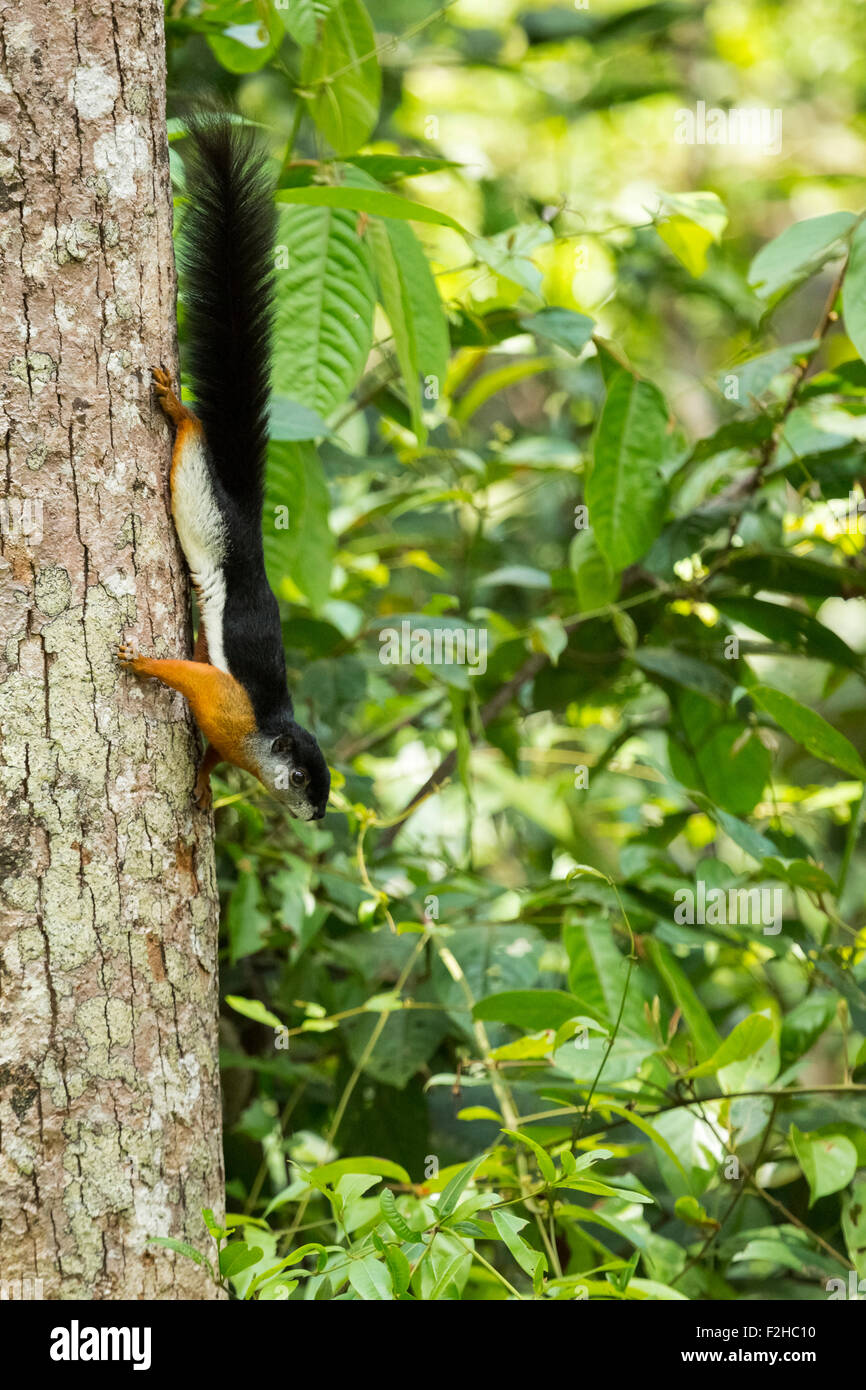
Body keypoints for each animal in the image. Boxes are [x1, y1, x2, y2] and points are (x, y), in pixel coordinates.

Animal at [119, 116, 330, 821]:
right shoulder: (227, 702)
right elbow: (193, 678)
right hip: (204, 506)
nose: (318, 816)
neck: (261, 736)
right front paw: (143, 663)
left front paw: (203, 784)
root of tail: (248, 513)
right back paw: (179, 412)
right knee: (193, 448)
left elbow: (210, 757)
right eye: (304, 779)